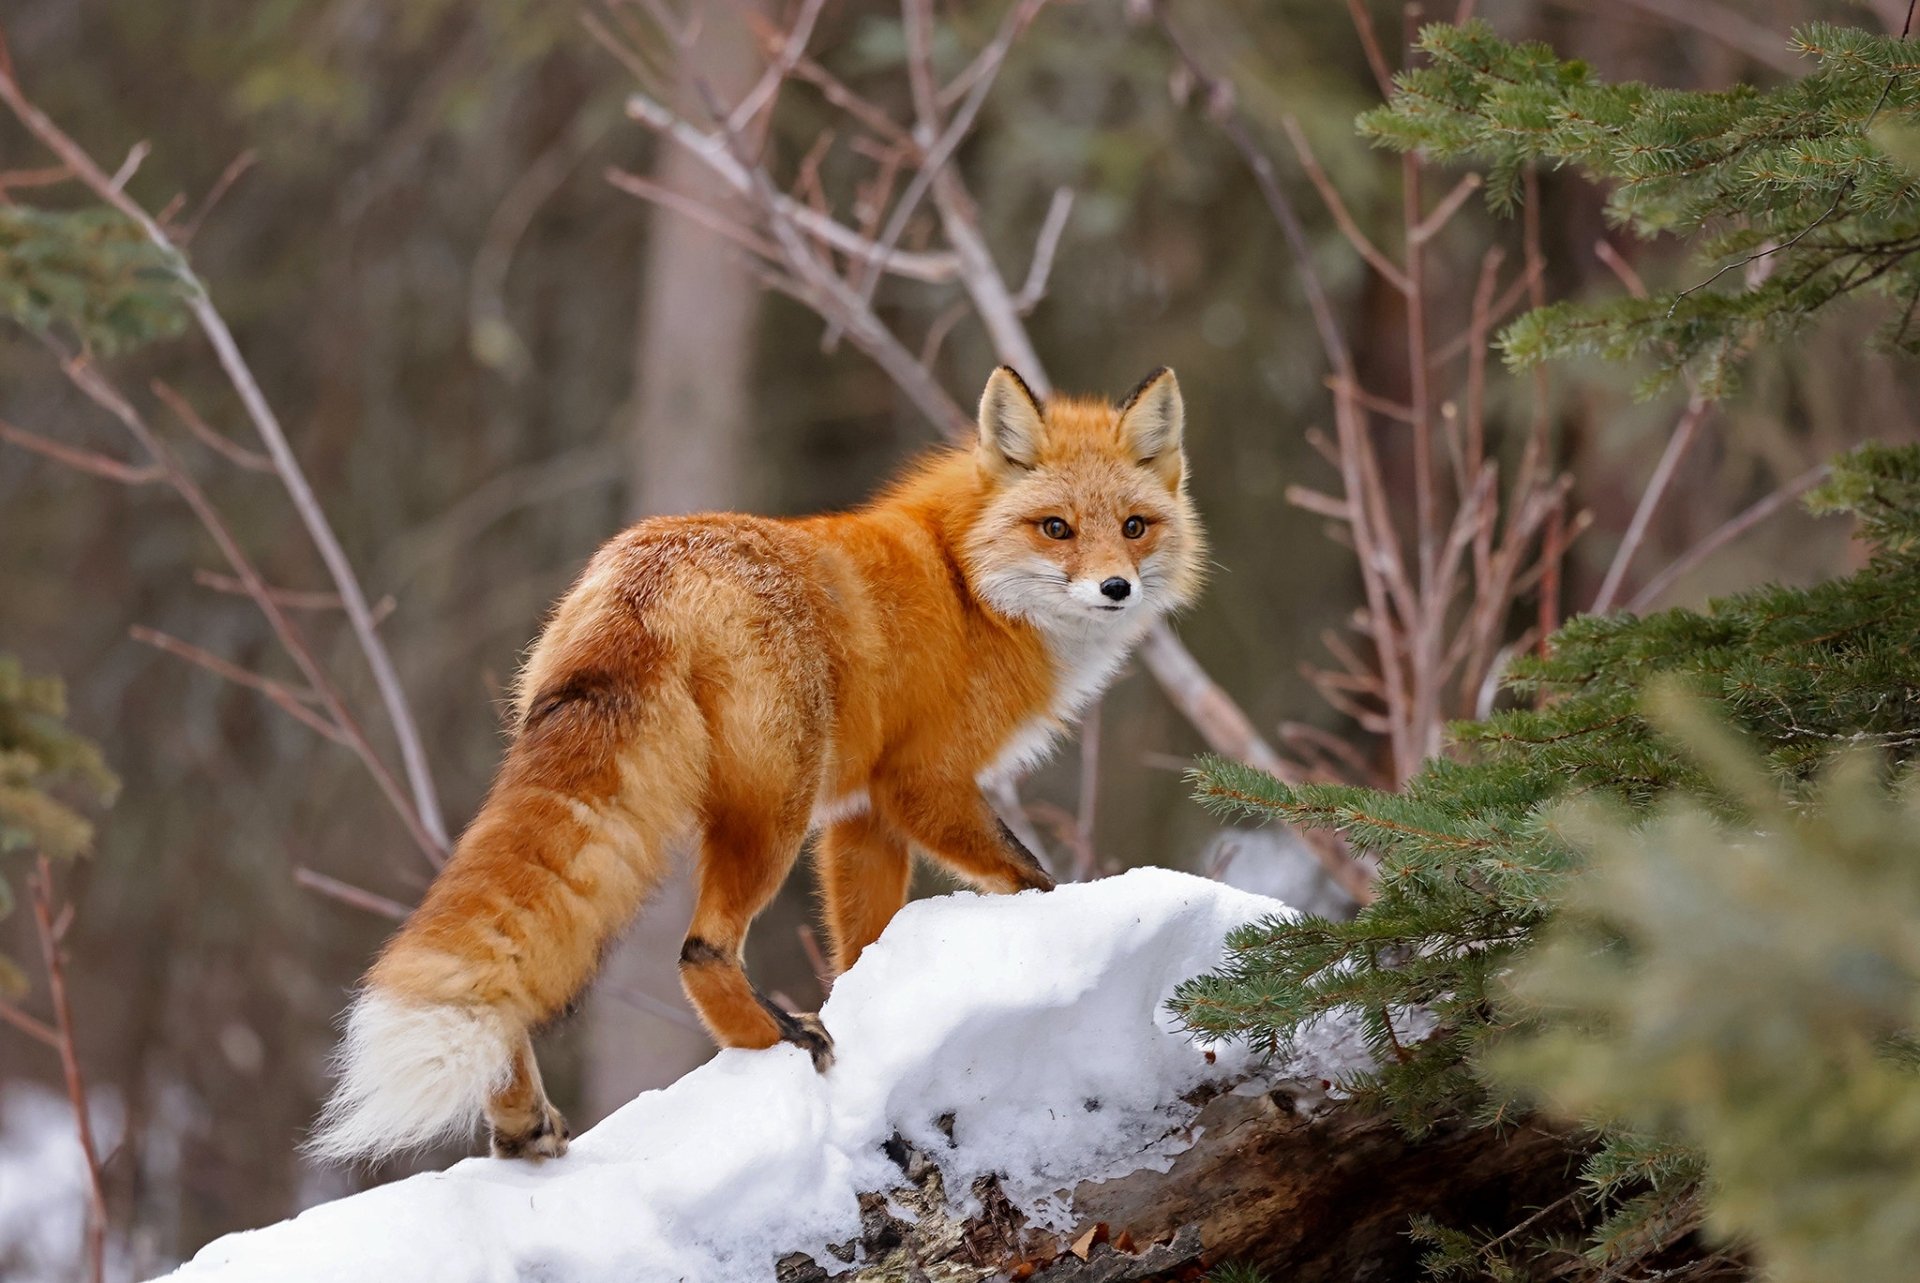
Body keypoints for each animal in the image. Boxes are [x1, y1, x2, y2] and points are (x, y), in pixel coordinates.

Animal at [308, 365, 1205, 1164]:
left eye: (1134, 526)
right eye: (1056, 527)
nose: (1116, 588)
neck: (967, 584)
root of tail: (648, 567)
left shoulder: (862, 813)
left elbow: (863, 948)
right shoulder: (921, 784)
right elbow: (1033, 879)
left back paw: (524, 1126)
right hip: (775, 810)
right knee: (700, 949)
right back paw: (783, 1040)